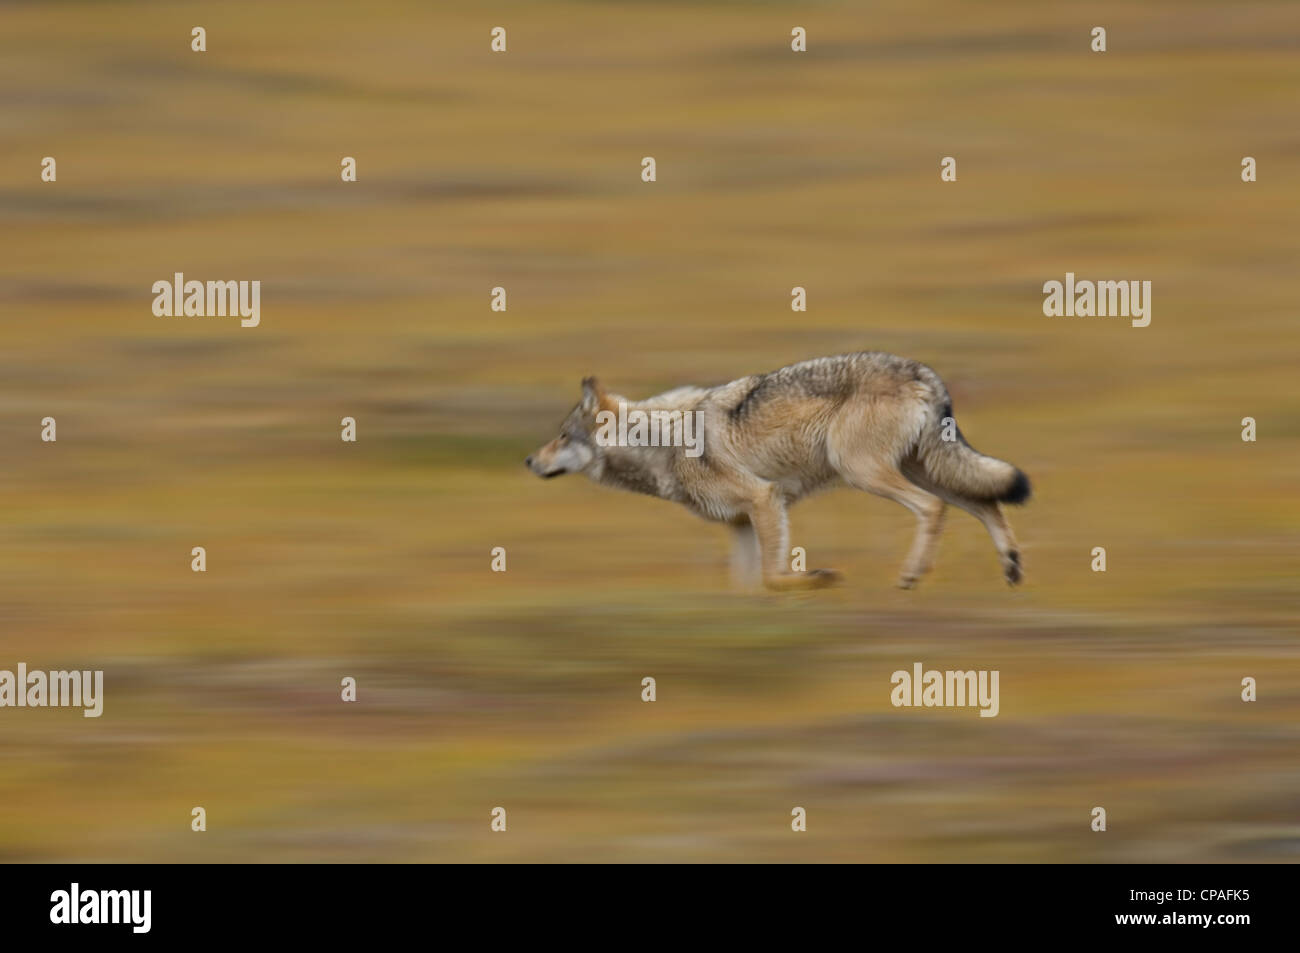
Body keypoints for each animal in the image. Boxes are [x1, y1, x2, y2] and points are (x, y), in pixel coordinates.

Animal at [525, 353, 1030, 591]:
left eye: (563, 436)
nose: (528, 461)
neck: (662, 441)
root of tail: (924, 372)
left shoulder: (765, 500)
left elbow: (771, 576)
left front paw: (822, 578)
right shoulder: (740, 524)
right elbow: (747, 585)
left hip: (863, 471)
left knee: (935, 508)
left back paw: (911, 576)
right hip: (922, 468)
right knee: (985, 500)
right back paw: (1011, 568)